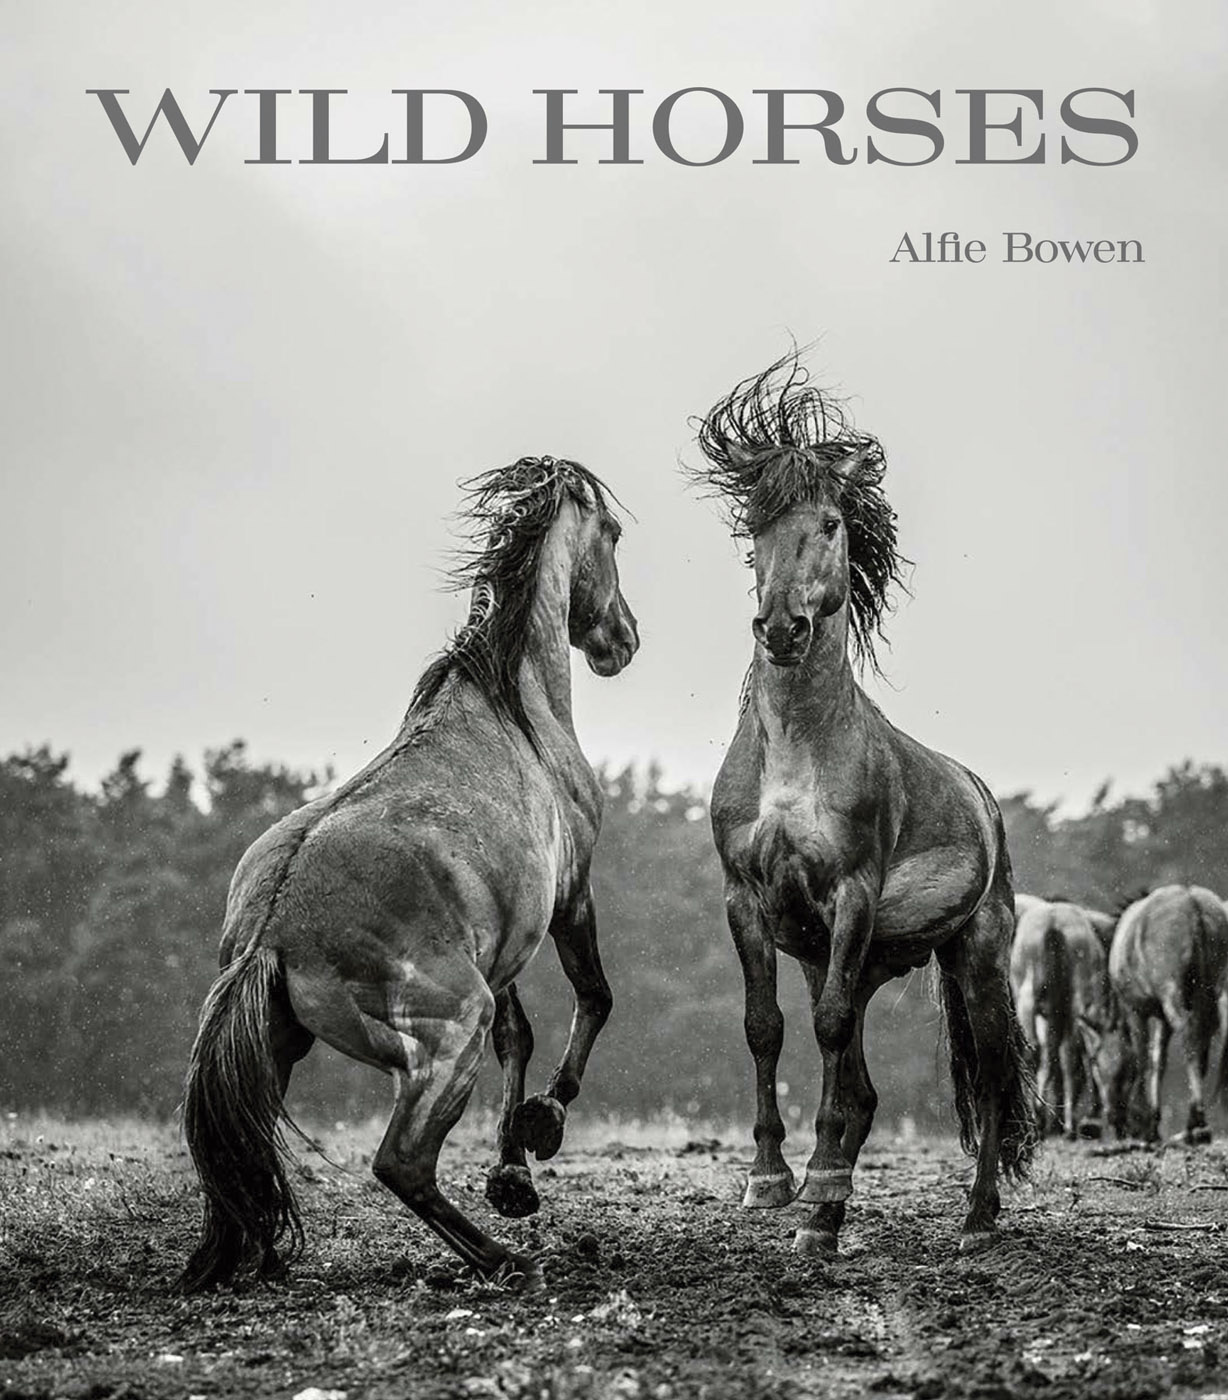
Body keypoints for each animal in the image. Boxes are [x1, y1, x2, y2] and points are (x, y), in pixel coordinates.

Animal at [179, 456, 639, 1291]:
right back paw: (506, 1261)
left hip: (279, 1049)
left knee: (241, 1156)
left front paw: (512, 1178)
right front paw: (543, 1125)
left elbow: (520, 1037)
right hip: (448, 1031)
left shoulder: (504, 943)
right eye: (613, 533)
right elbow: (594, 999)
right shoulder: (570, 897)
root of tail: (272, 929)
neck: (516, 706)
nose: (623, 639)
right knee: (401, 1163)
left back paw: (252, 1258)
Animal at [691, 352, 1035, 1258]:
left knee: (989, 1076)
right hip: (860, 953)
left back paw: (976, 1217)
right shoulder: (747, 901)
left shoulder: (850, 894)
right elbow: (765, 1027)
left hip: (975, 954)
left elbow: (832, 1031)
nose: (782, 628)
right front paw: (774, 1183)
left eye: (831, 526)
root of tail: (984, 801)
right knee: (865, 1085)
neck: (795, 753)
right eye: (755, 527)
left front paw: (817, 1191)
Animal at [1010, 898, 1124, 1139]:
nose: (1115, 1117)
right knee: (1063, 1055)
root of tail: (1053, 926)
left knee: (1039, 1052)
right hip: (1071, 999)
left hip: (1029, 999)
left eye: (1124, 1070)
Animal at [1109, 884, 1228, 1144]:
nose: (1115, 1120)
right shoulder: (1164, 1018)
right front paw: (1153, 1121)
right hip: (1215, 992)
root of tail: (1193, 904)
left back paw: (1196, 1119)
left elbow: (1142, 1059)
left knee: (1190, 1036)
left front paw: (1145, 1121)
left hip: (1172, 993)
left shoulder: (1136, 1011)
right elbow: (1159, 1061)